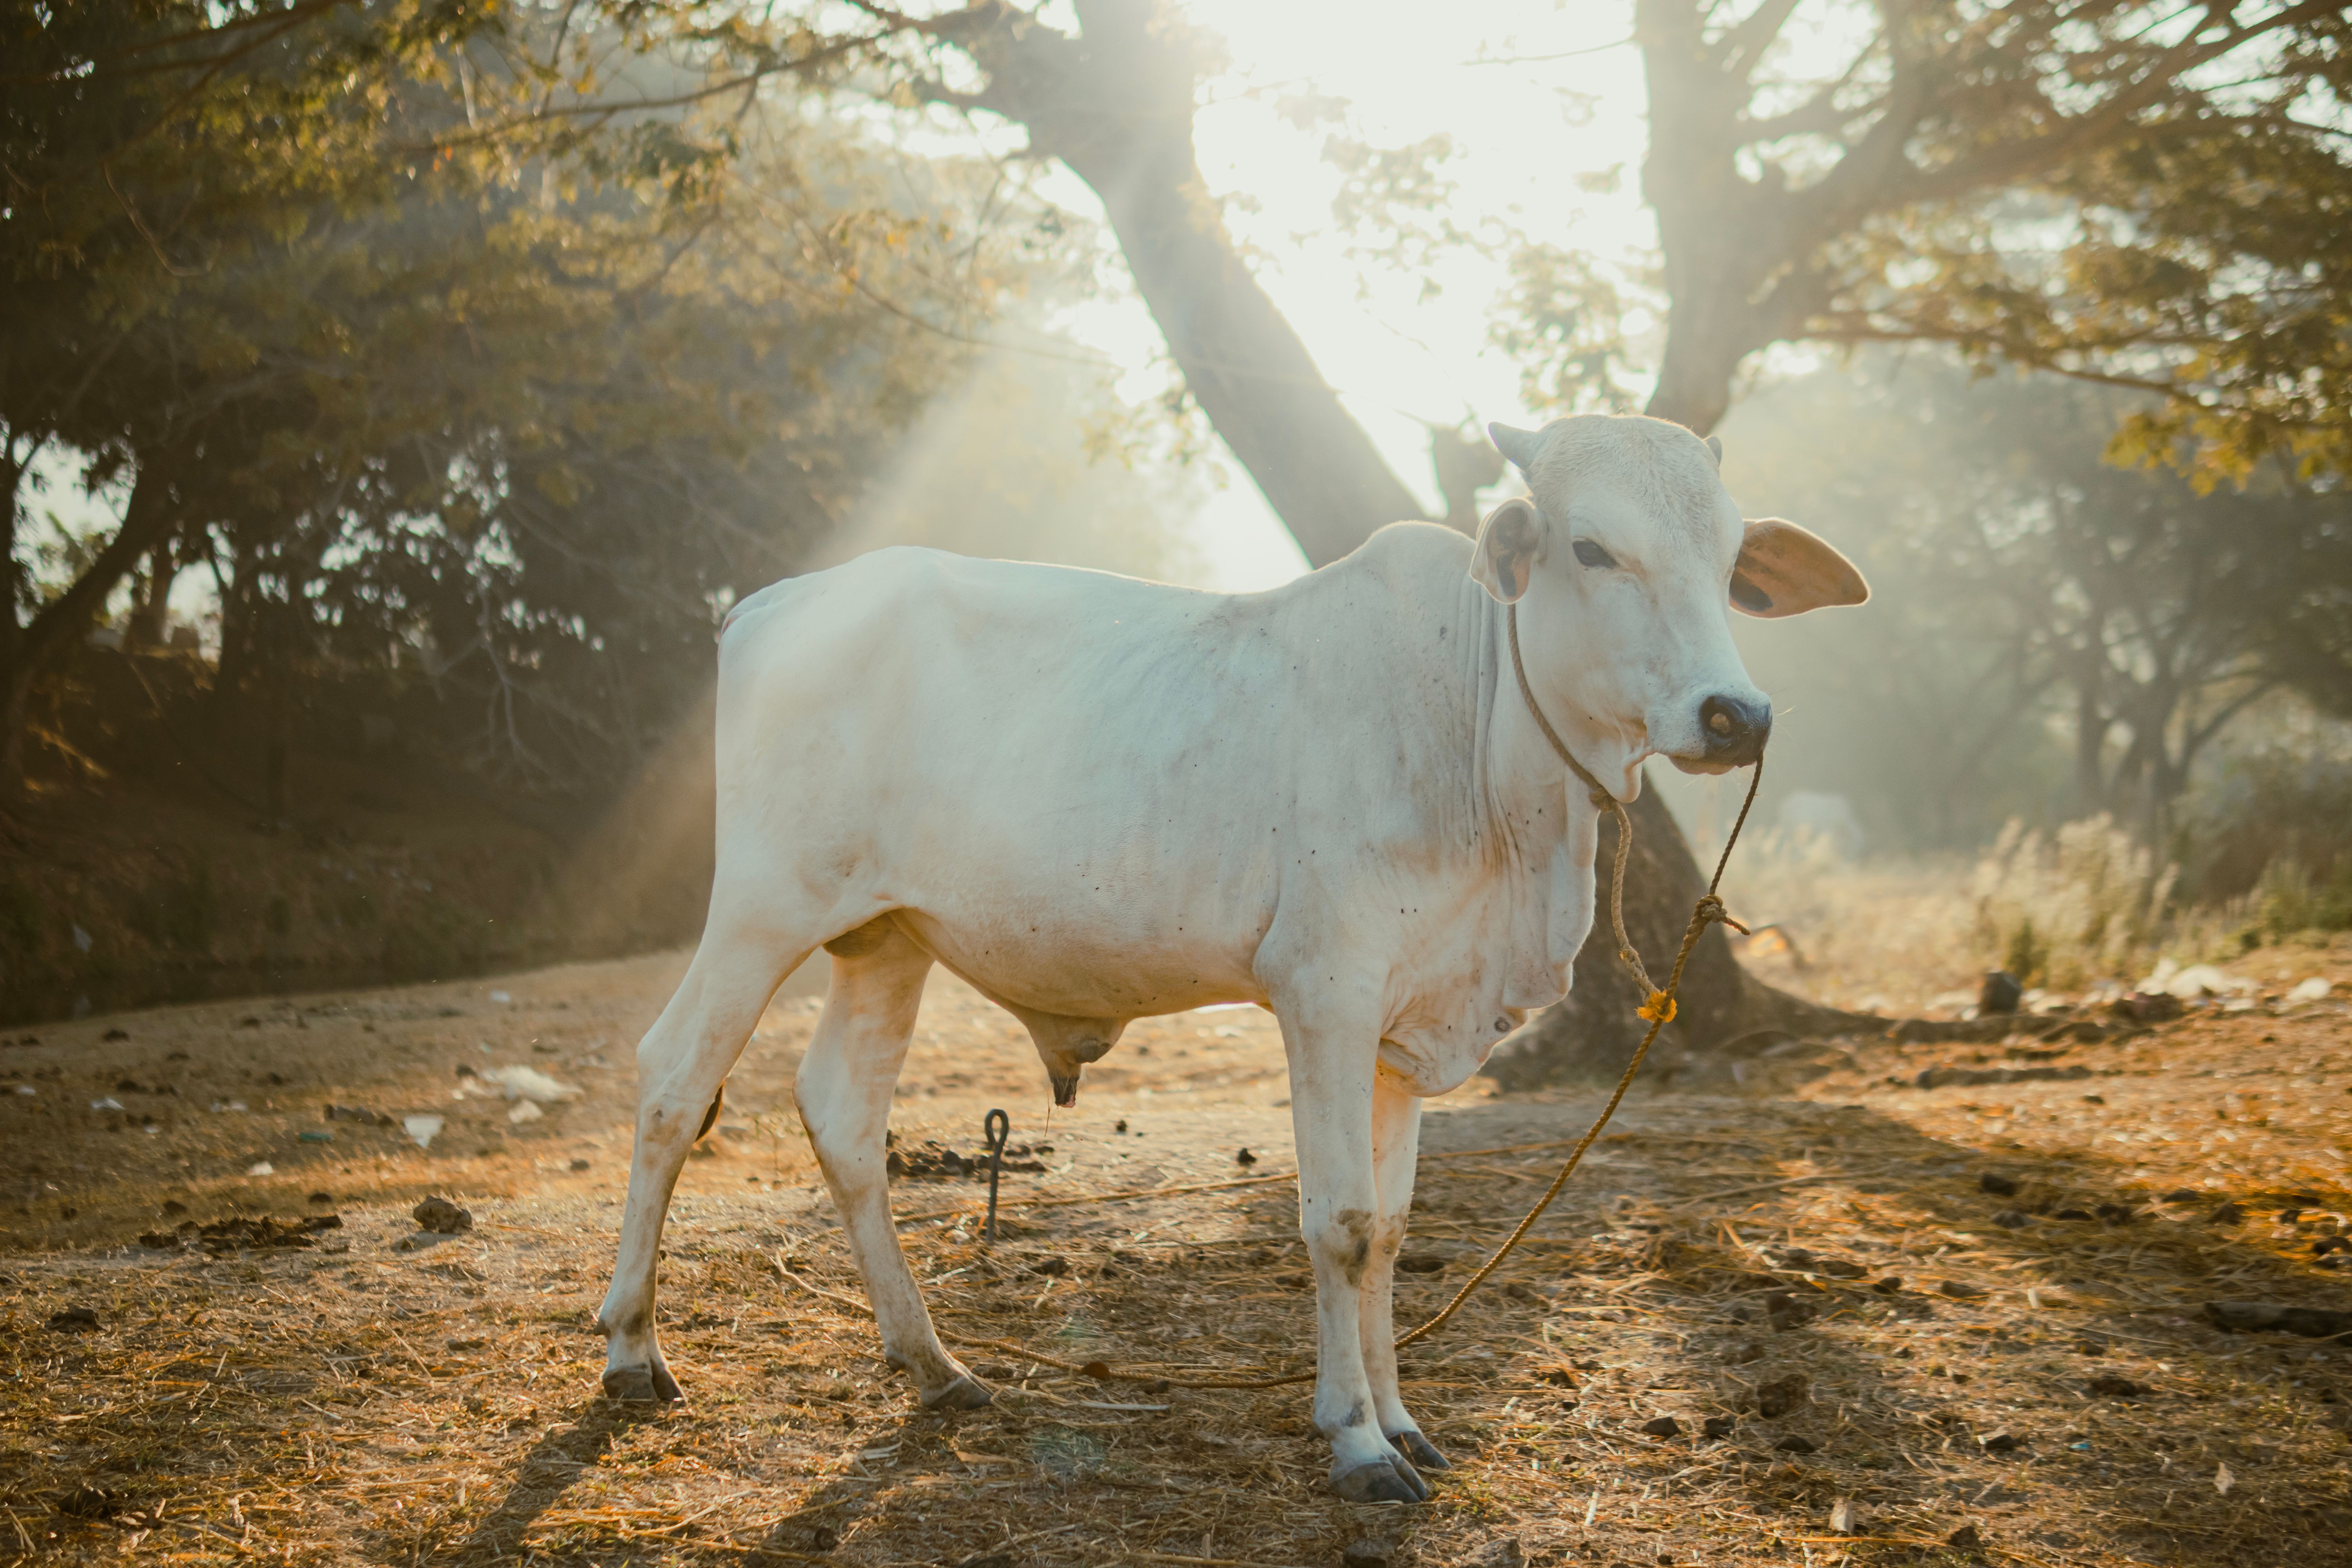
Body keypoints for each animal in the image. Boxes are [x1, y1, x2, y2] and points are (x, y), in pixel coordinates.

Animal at [594, 413, 1867, 1503]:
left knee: (845, 1117)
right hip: (761, 906)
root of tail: (772, 604)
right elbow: (1338, 1223)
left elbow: (1391, 1229)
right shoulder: (1325, 995)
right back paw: (630, 1351)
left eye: (1728, 555)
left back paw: (933, 1361)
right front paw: (1356, 1441)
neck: (1488, 745)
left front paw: (1401, 1419)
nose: (1735, 716)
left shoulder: (1403, 1033)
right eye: (1595, 549)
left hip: (888, 939)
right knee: (671, 1080)